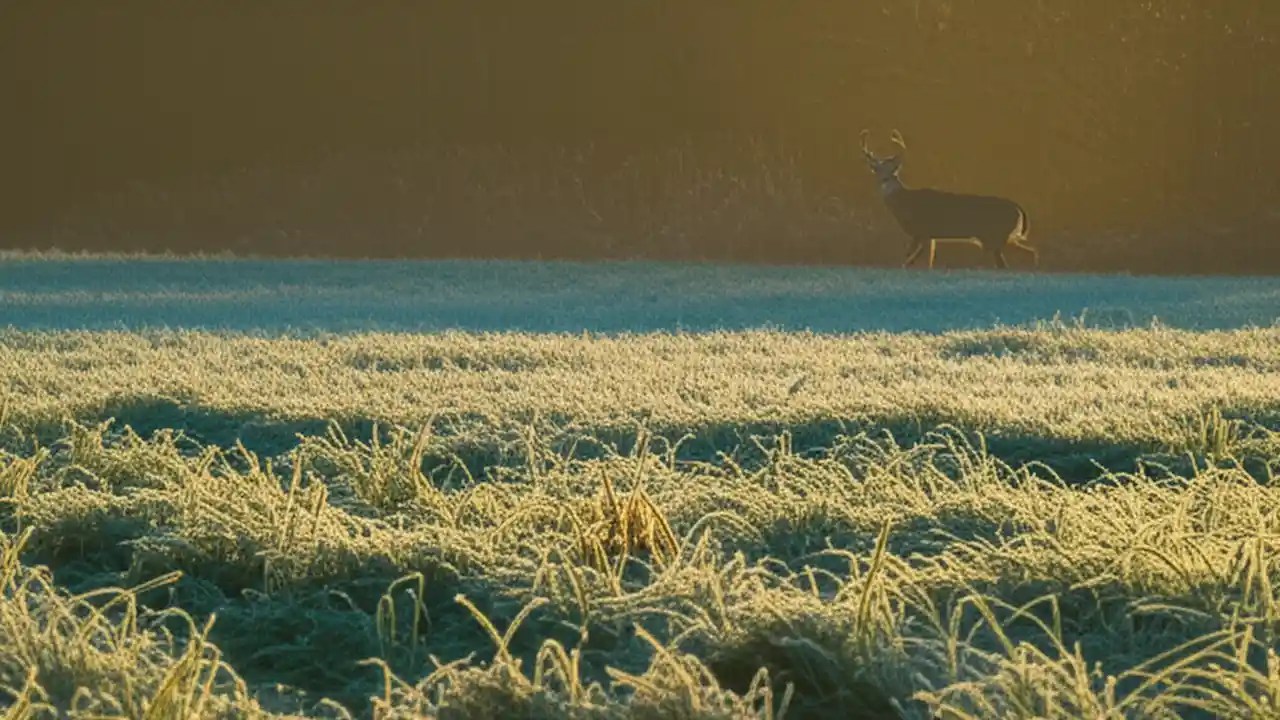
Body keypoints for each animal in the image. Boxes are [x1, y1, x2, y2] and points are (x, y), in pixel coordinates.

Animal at [861, 129, 1037, 270]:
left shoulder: (921, 231)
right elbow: (928, 259)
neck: (905, 204)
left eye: (894, 172)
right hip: (1002, 239)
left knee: (1007, 262)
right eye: (877, 170)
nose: (885, 181)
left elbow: (909, 258)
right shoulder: (930, 235)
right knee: (1030, 252)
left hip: (996, 237)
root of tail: (1019, 210)